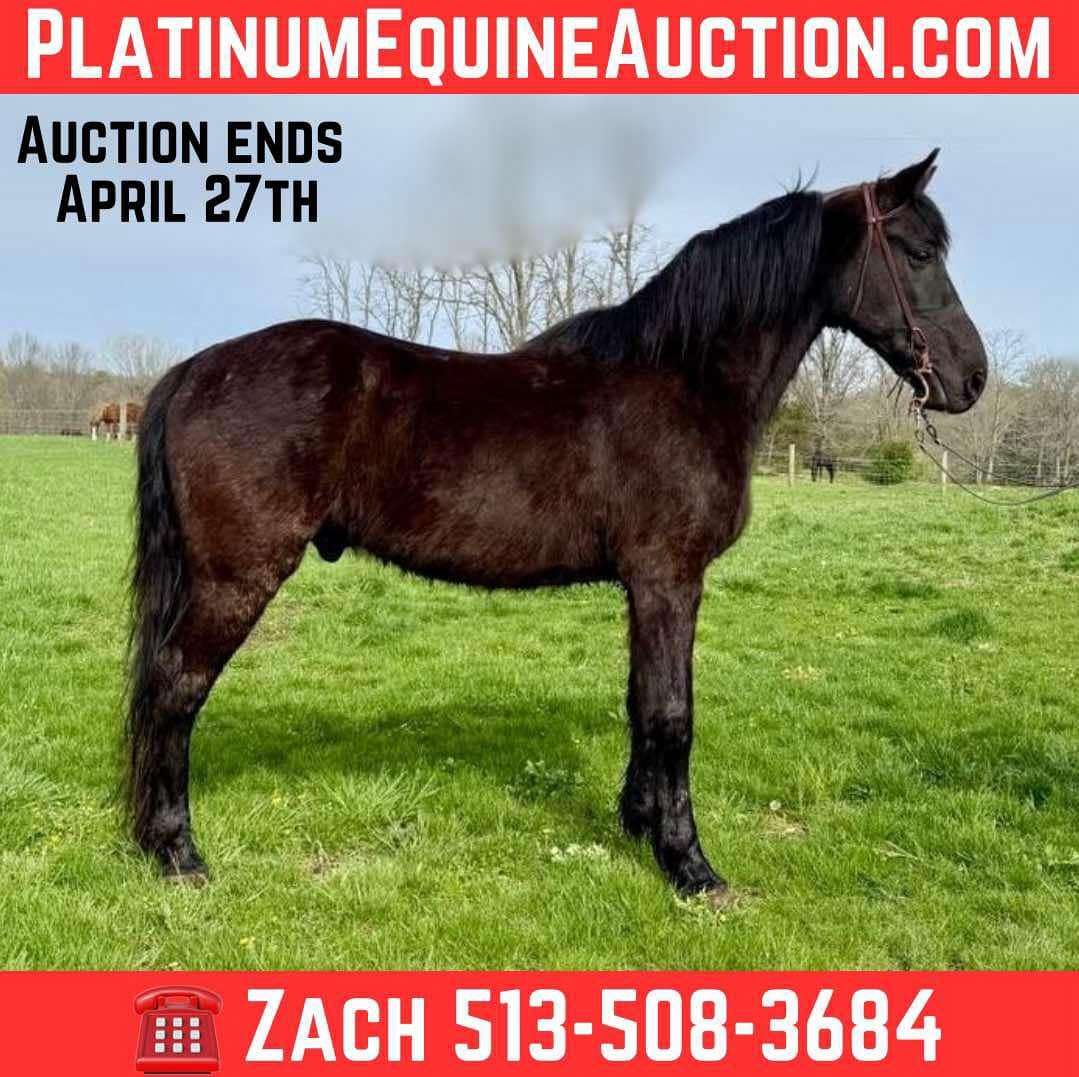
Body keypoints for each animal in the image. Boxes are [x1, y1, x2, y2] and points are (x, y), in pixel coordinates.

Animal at [126, 150, 987, 903]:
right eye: (916, 251)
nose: (970, 378)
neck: (684, 376)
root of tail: (194, 370)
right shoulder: (668, 577)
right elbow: (672, 714)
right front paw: (690, 867)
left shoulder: (648, 586)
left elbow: (641, 703)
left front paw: (639, 826)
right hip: (237, 577)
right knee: (175, 687)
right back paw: (177, 854)